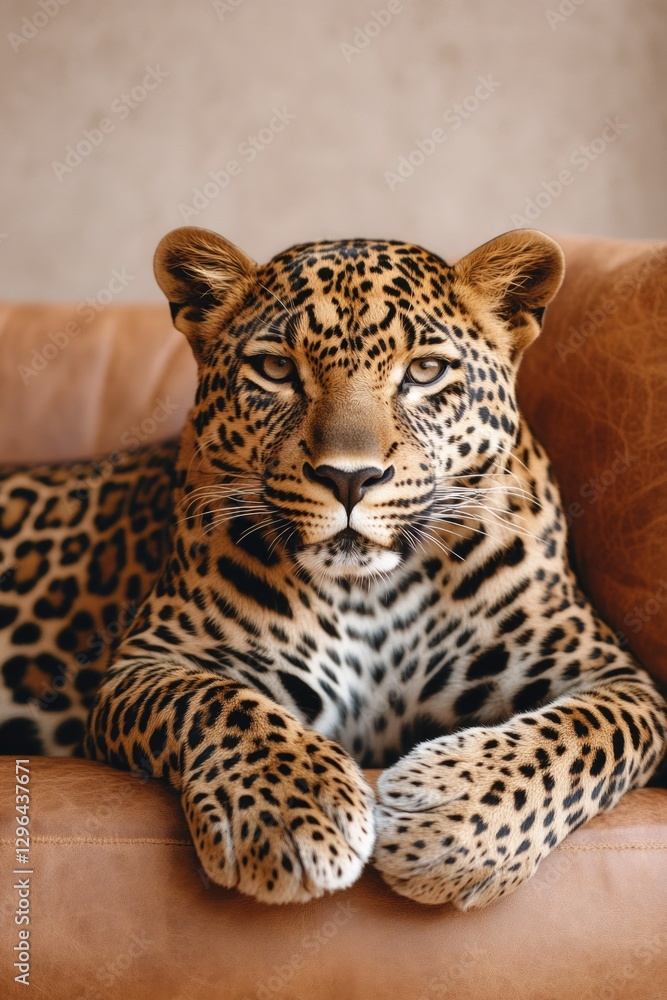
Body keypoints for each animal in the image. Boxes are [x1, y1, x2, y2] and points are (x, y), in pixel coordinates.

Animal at [1, 225, 665, 910]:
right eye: (275, 369)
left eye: (425, 371)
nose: (350, 478)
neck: (371, 593)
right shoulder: (148, 664)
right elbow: (220, 703)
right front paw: (293, 810)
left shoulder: (617, 678)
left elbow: (583, 736)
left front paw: (451, 821)